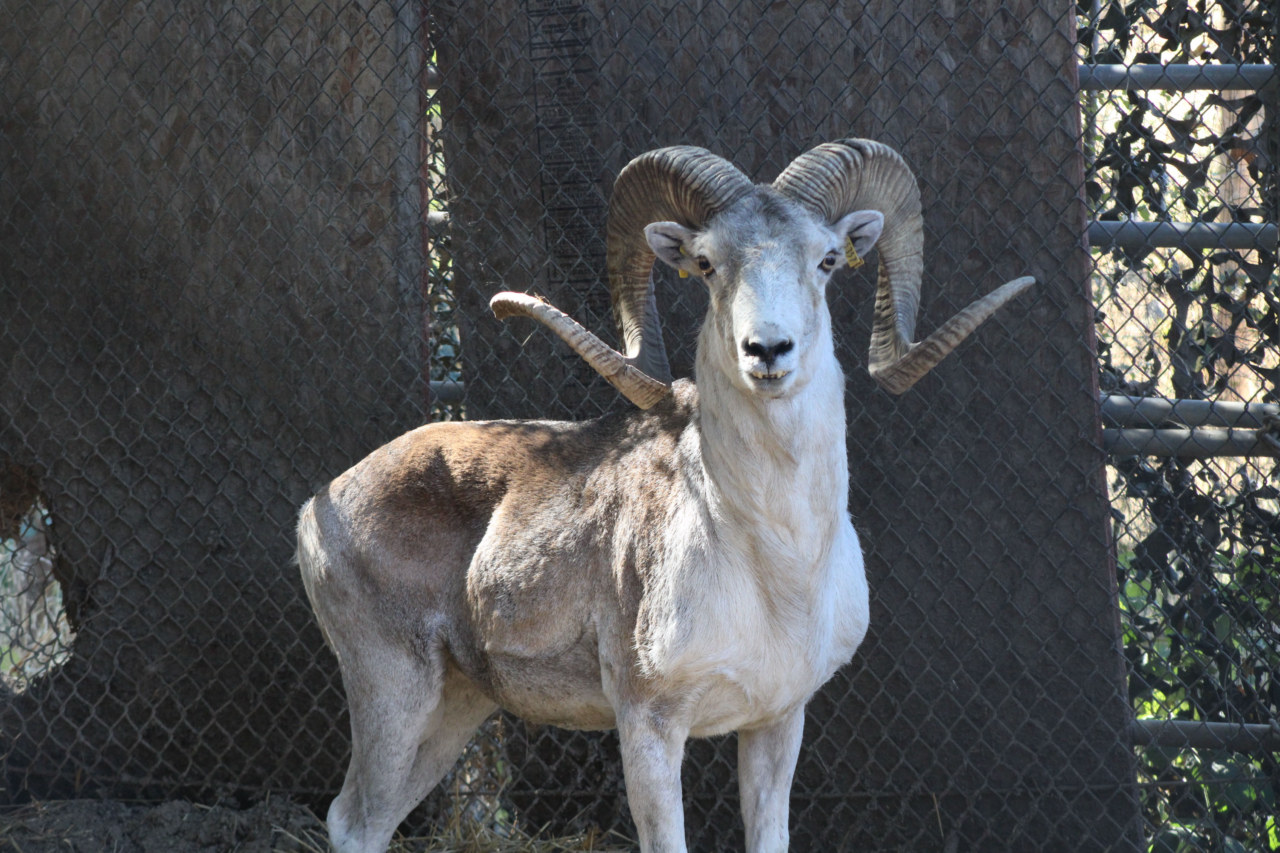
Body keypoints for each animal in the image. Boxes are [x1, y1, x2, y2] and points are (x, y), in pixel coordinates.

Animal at [296, 138, 1034, 853]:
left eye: (826, 259)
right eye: (706, 264)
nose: (768, 350)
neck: (777, 565)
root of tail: (318, 508)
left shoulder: (775, 726)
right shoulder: (649, 728)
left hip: (454, 710)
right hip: (393, 693)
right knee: (352, 823)